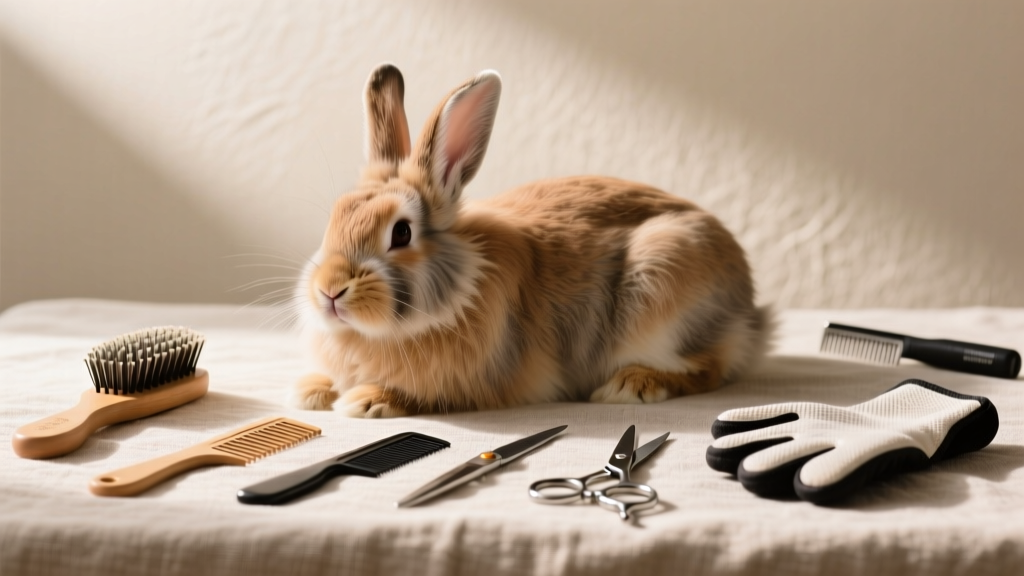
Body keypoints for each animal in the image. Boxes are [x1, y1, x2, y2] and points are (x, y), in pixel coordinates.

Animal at [291, 64, 772, 418]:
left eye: (402, 232)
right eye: (334, 218)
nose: (329, 290)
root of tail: (750, 314)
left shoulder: (468, 385)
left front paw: (366, 399)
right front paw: (310, 391)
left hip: (663, 293)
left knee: (708, 369)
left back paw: (631, 385)